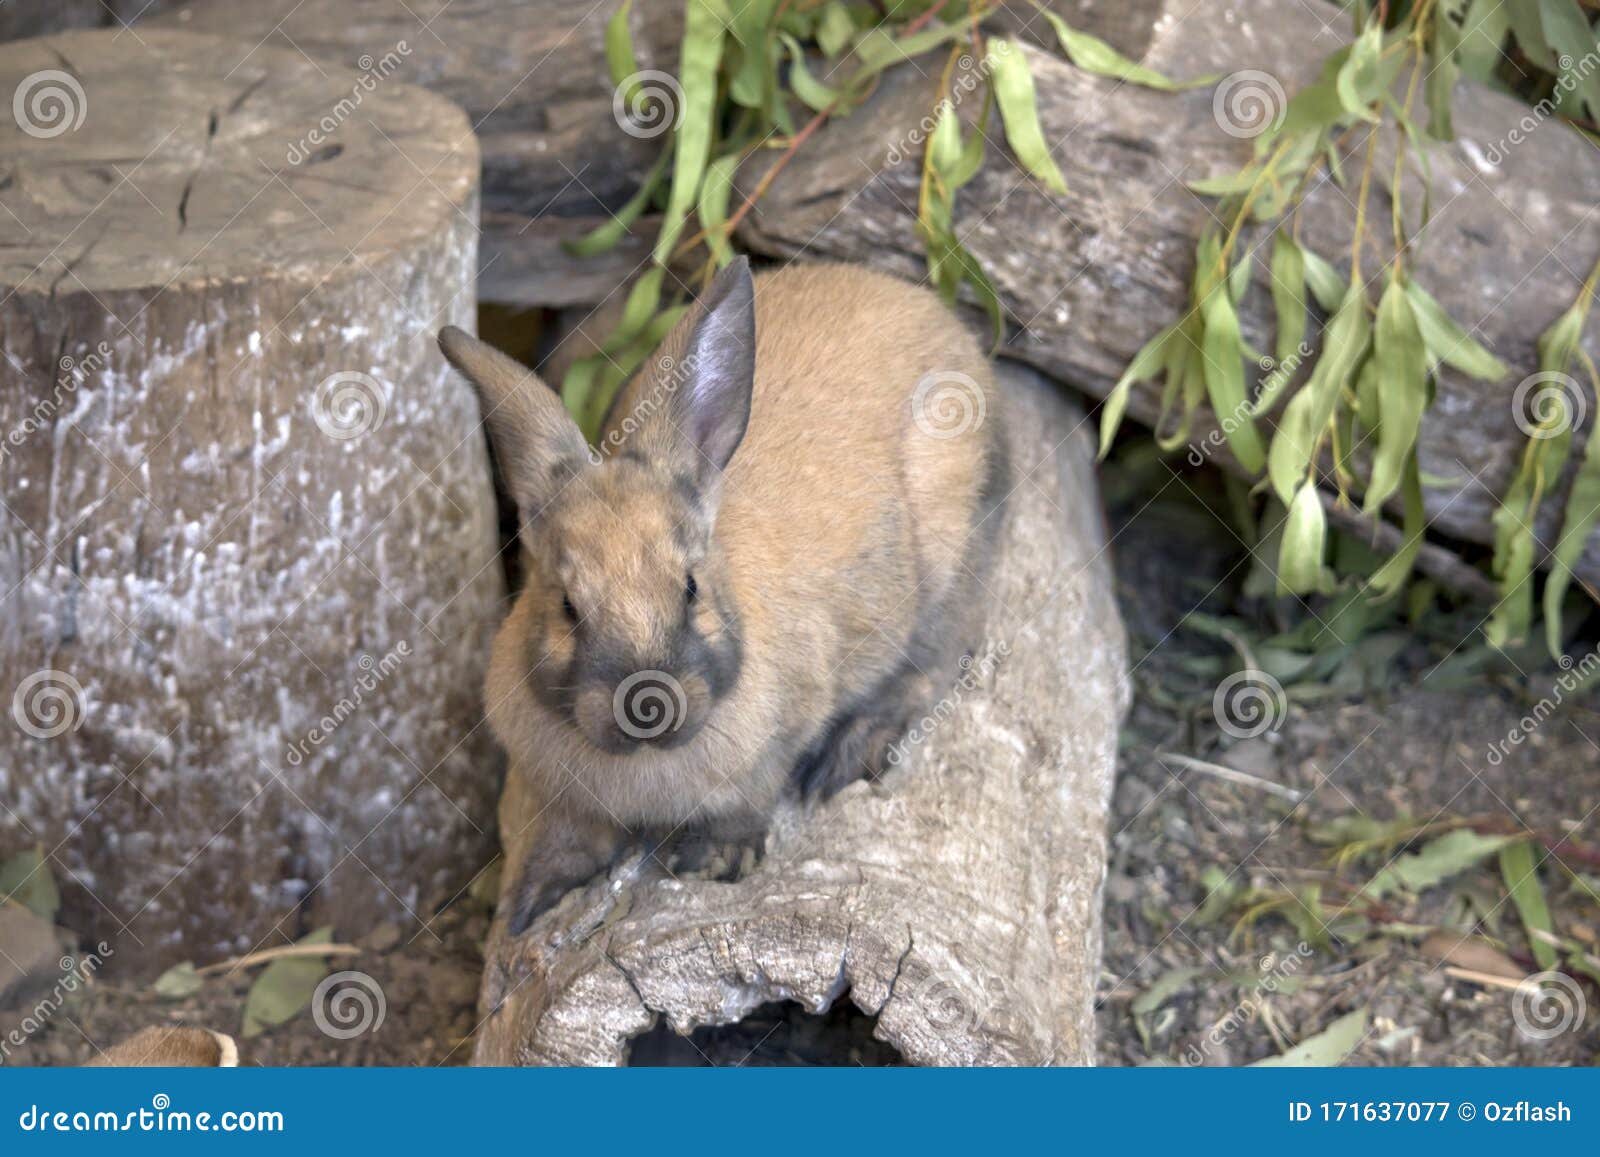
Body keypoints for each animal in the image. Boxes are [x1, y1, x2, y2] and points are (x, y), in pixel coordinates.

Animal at [438, 257, 1007, 935]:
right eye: (568, 606)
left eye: (689, 587)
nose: (648, 703)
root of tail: (942, 322)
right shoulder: (565, 795)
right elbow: (573, 835)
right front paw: (533, 900)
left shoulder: (783, 732)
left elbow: (752, 798)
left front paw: (715, 859)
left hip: (947, 558)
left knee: (941, 655)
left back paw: (853, 750)